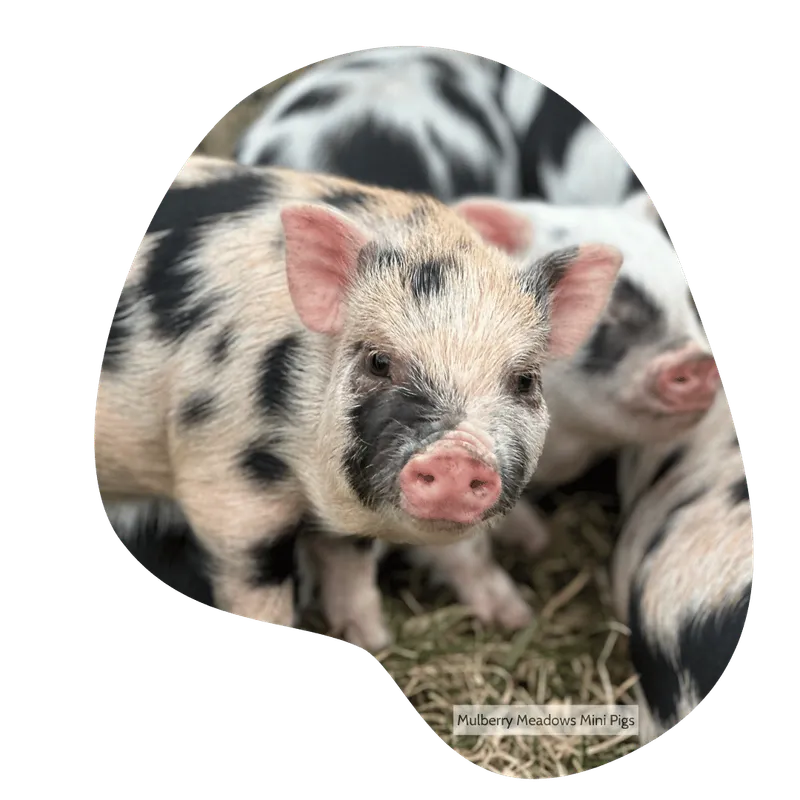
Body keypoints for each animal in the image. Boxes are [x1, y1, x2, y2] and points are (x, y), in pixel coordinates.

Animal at [95, 154, 623, 652]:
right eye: (378, 361)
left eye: (525, 380)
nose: (457, 455)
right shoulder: (224, 475)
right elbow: (261, 585)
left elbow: (349, 562)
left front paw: (376, 641)